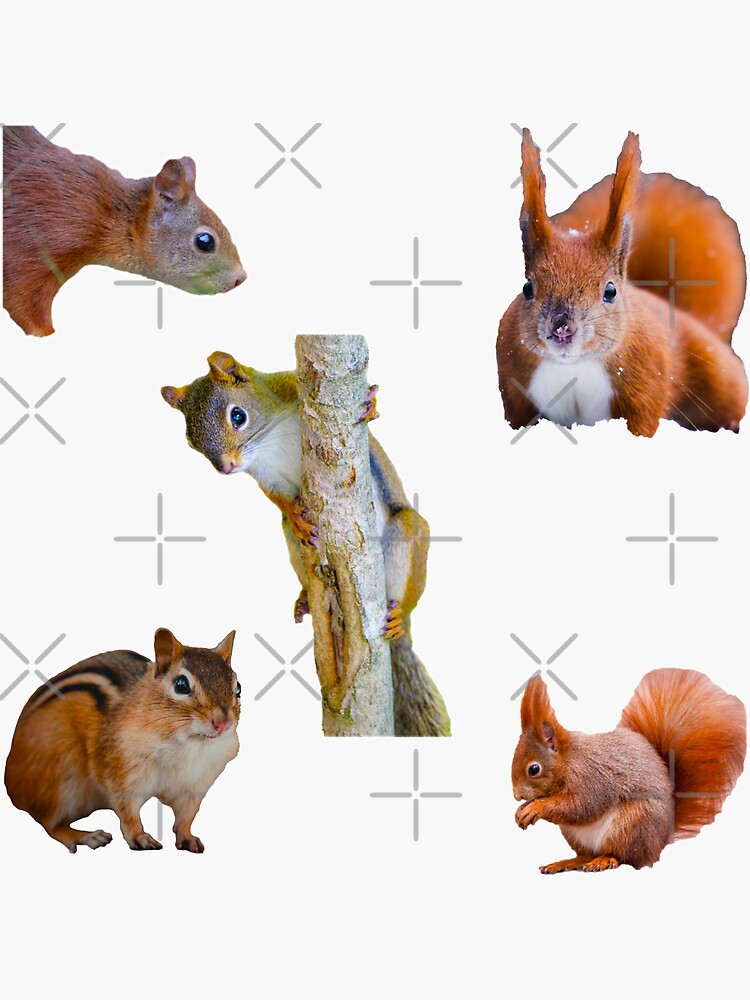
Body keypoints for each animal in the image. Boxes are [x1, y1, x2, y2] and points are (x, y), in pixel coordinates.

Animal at [2, 125, 246, 337]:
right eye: (205, 241)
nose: (240, 279)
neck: (112, 213)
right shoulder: (35, 243)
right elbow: (22, 300)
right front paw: (46, 333)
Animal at [4, 628, 240, 853]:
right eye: (181, 685)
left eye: (237, 687)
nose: (223, 723)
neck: (188, 745)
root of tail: (11, 783)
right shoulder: (120, 770)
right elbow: (127, 810)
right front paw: (139, 837)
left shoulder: (194, 785)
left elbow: (186, 816)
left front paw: (187, 837)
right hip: (57, 783)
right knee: (50, 823)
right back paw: (84, 836)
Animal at [161, 351, 451, 737]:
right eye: (192, 442)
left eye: (238, 416)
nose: (225, 467)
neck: (267, 442)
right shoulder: (264, 476)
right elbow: (278, 499)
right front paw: (295, 515)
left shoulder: (290, 386)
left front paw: (371, 404)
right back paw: (304, 598)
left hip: (405, 533)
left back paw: (400, 617)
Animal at [497, 129, 748, 436]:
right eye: (527, 288)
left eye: (610, 291)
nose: (562, 330)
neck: (574, 366)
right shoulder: (514, 390)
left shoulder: (645, 386)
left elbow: (642, 423)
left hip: (719, 378)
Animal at [512, 668, 746, 873]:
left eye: (534, 769)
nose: (517, 795)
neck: (568, 760)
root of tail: (659, 842)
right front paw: (522, 809)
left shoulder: (590, 777)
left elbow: (579, 806)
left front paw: (537, 807)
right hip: (576, 835)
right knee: (585, 855)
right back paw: (566, 862)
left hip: (631, 826)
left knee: (624, 856)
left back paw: (605, 859)